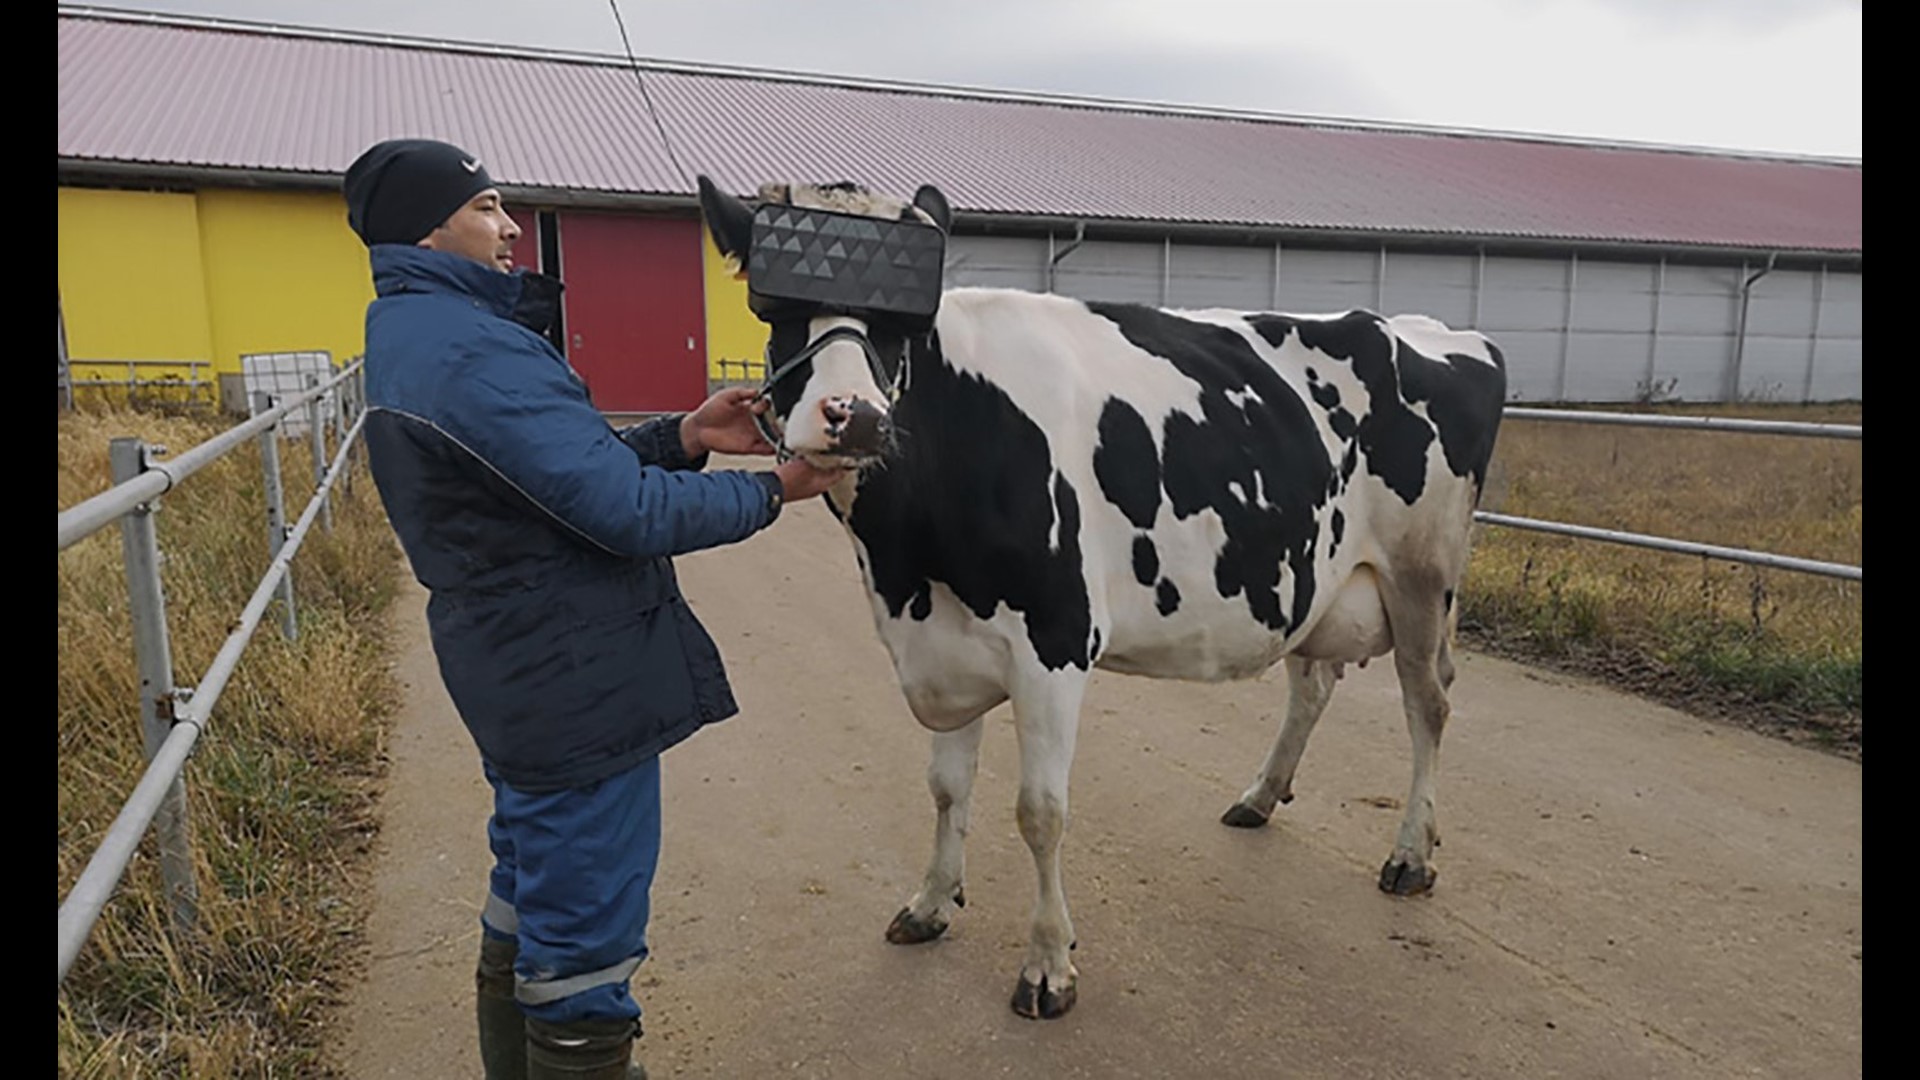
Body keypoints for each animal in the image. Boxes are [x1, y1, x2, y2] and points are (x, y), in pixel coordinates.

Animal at [696, 175, 1507, 1020]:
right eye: (775, 312)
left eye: (901, 324)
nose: (853, 416)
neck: (907, 565)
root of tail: (1435, 331)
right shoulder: (943, 645)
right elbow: (948, 789)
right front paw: (930, 903)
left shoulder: (1054, 640)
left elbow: (1040, 812)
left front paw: (1048, 964)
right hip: (1312, 574)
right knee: (1313, 681)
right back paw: (1260, 795)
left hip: (1423, 576)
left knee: (1428, 703)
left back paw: (1411, 854)